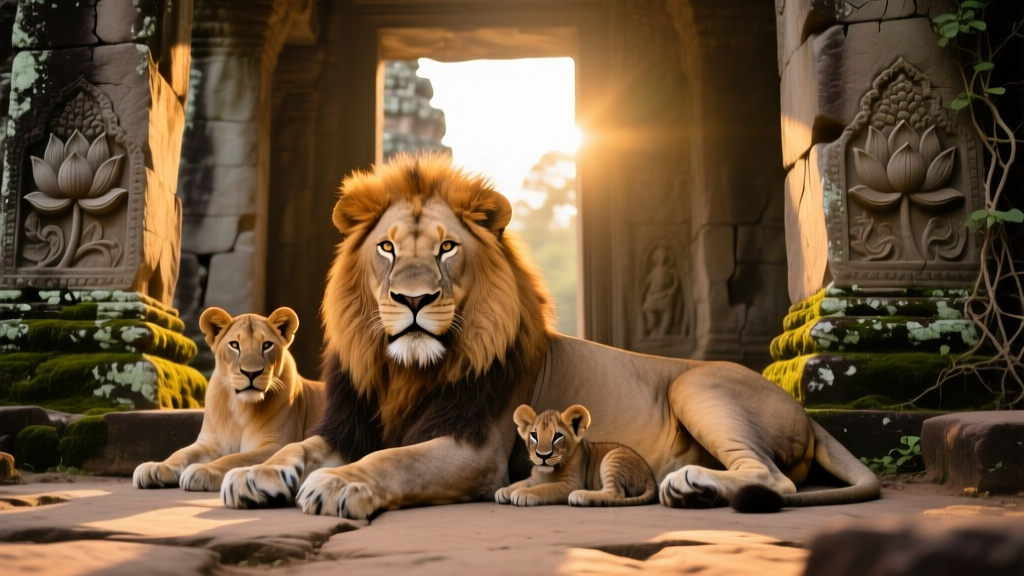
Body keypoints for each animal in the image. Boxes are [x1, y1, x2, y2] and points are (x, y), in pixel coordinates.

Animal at [134, 307, 326, 491]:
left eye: (267, 345)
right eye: (234, 345)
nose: (251, 373)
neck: (241, 406)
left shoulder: (277, 444)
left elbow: (235, 458)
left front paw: (204, 469)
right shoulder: (209, 443)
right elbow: (181, 452)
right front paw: (156, 467)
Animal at [495, 404, 657, 507]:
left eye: (557, 436)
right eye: (534, 435)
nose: (543, 456)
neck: (549, 472)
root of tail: (651, 477)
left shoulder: (570, 484)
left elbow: (544, 488)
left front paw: (523, 493)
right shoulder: (536, 478)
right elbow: (521, 483)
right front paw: (504, 490)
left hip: (613, 456)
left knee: (616, 494)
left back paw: (581, 495)